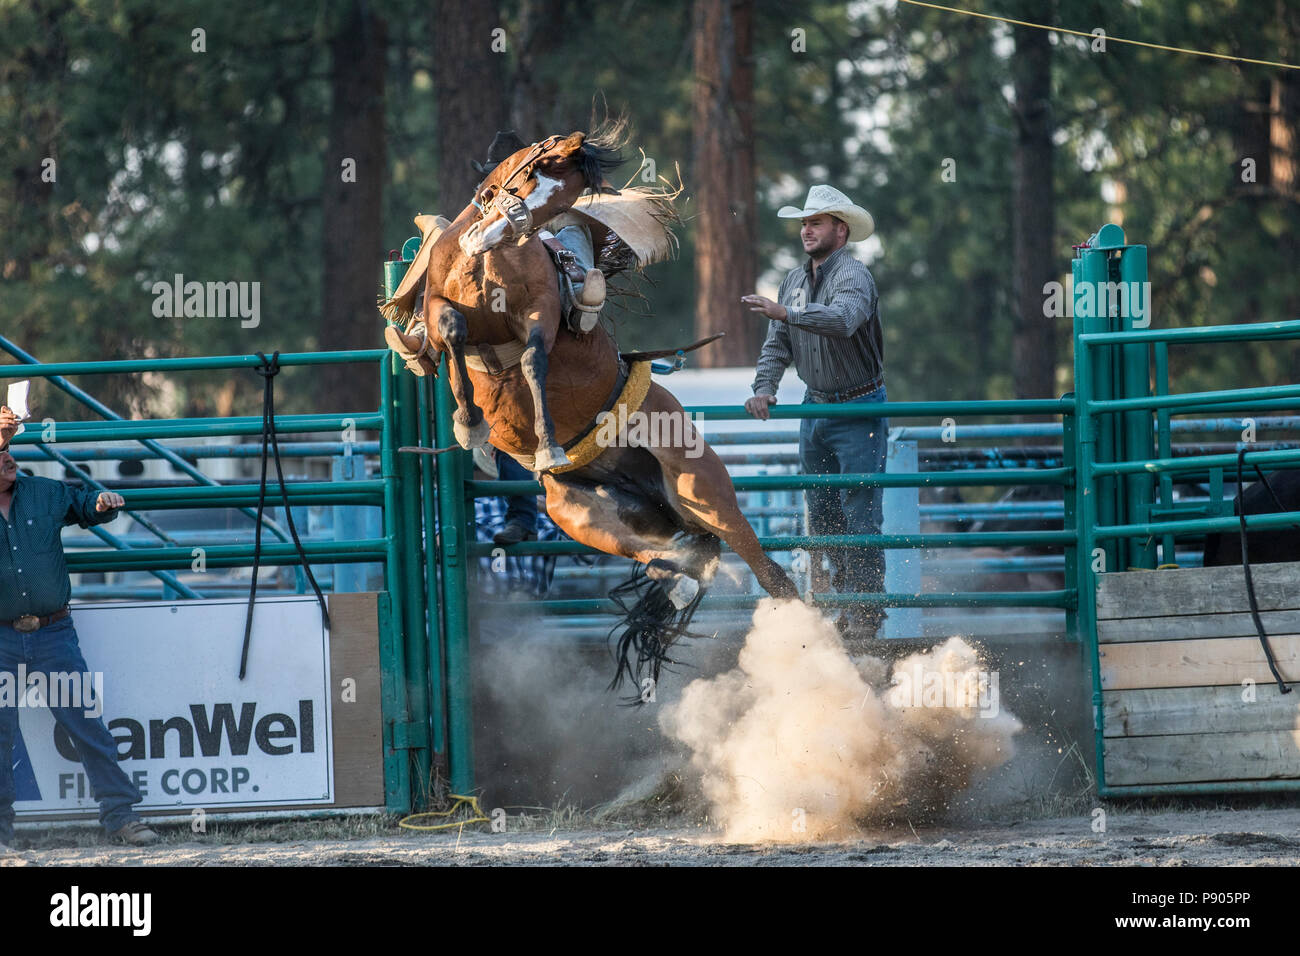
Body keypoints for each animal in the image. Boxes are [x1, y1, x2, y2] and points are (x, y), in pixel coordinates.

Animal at [384, 125, 800, 687]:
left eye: (565, 202)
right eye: (539, 172)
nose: (488, 236)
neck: (486, 263)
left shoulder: (538, 313)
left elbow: (533, 358)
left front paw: (547, 444)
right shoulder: (438, 305)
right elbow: (449, 330)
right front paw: (470, 425)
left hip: (704, 495)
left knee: (770, 575)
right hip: (584, 516)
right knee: (668, 559)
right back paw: (680, 577)